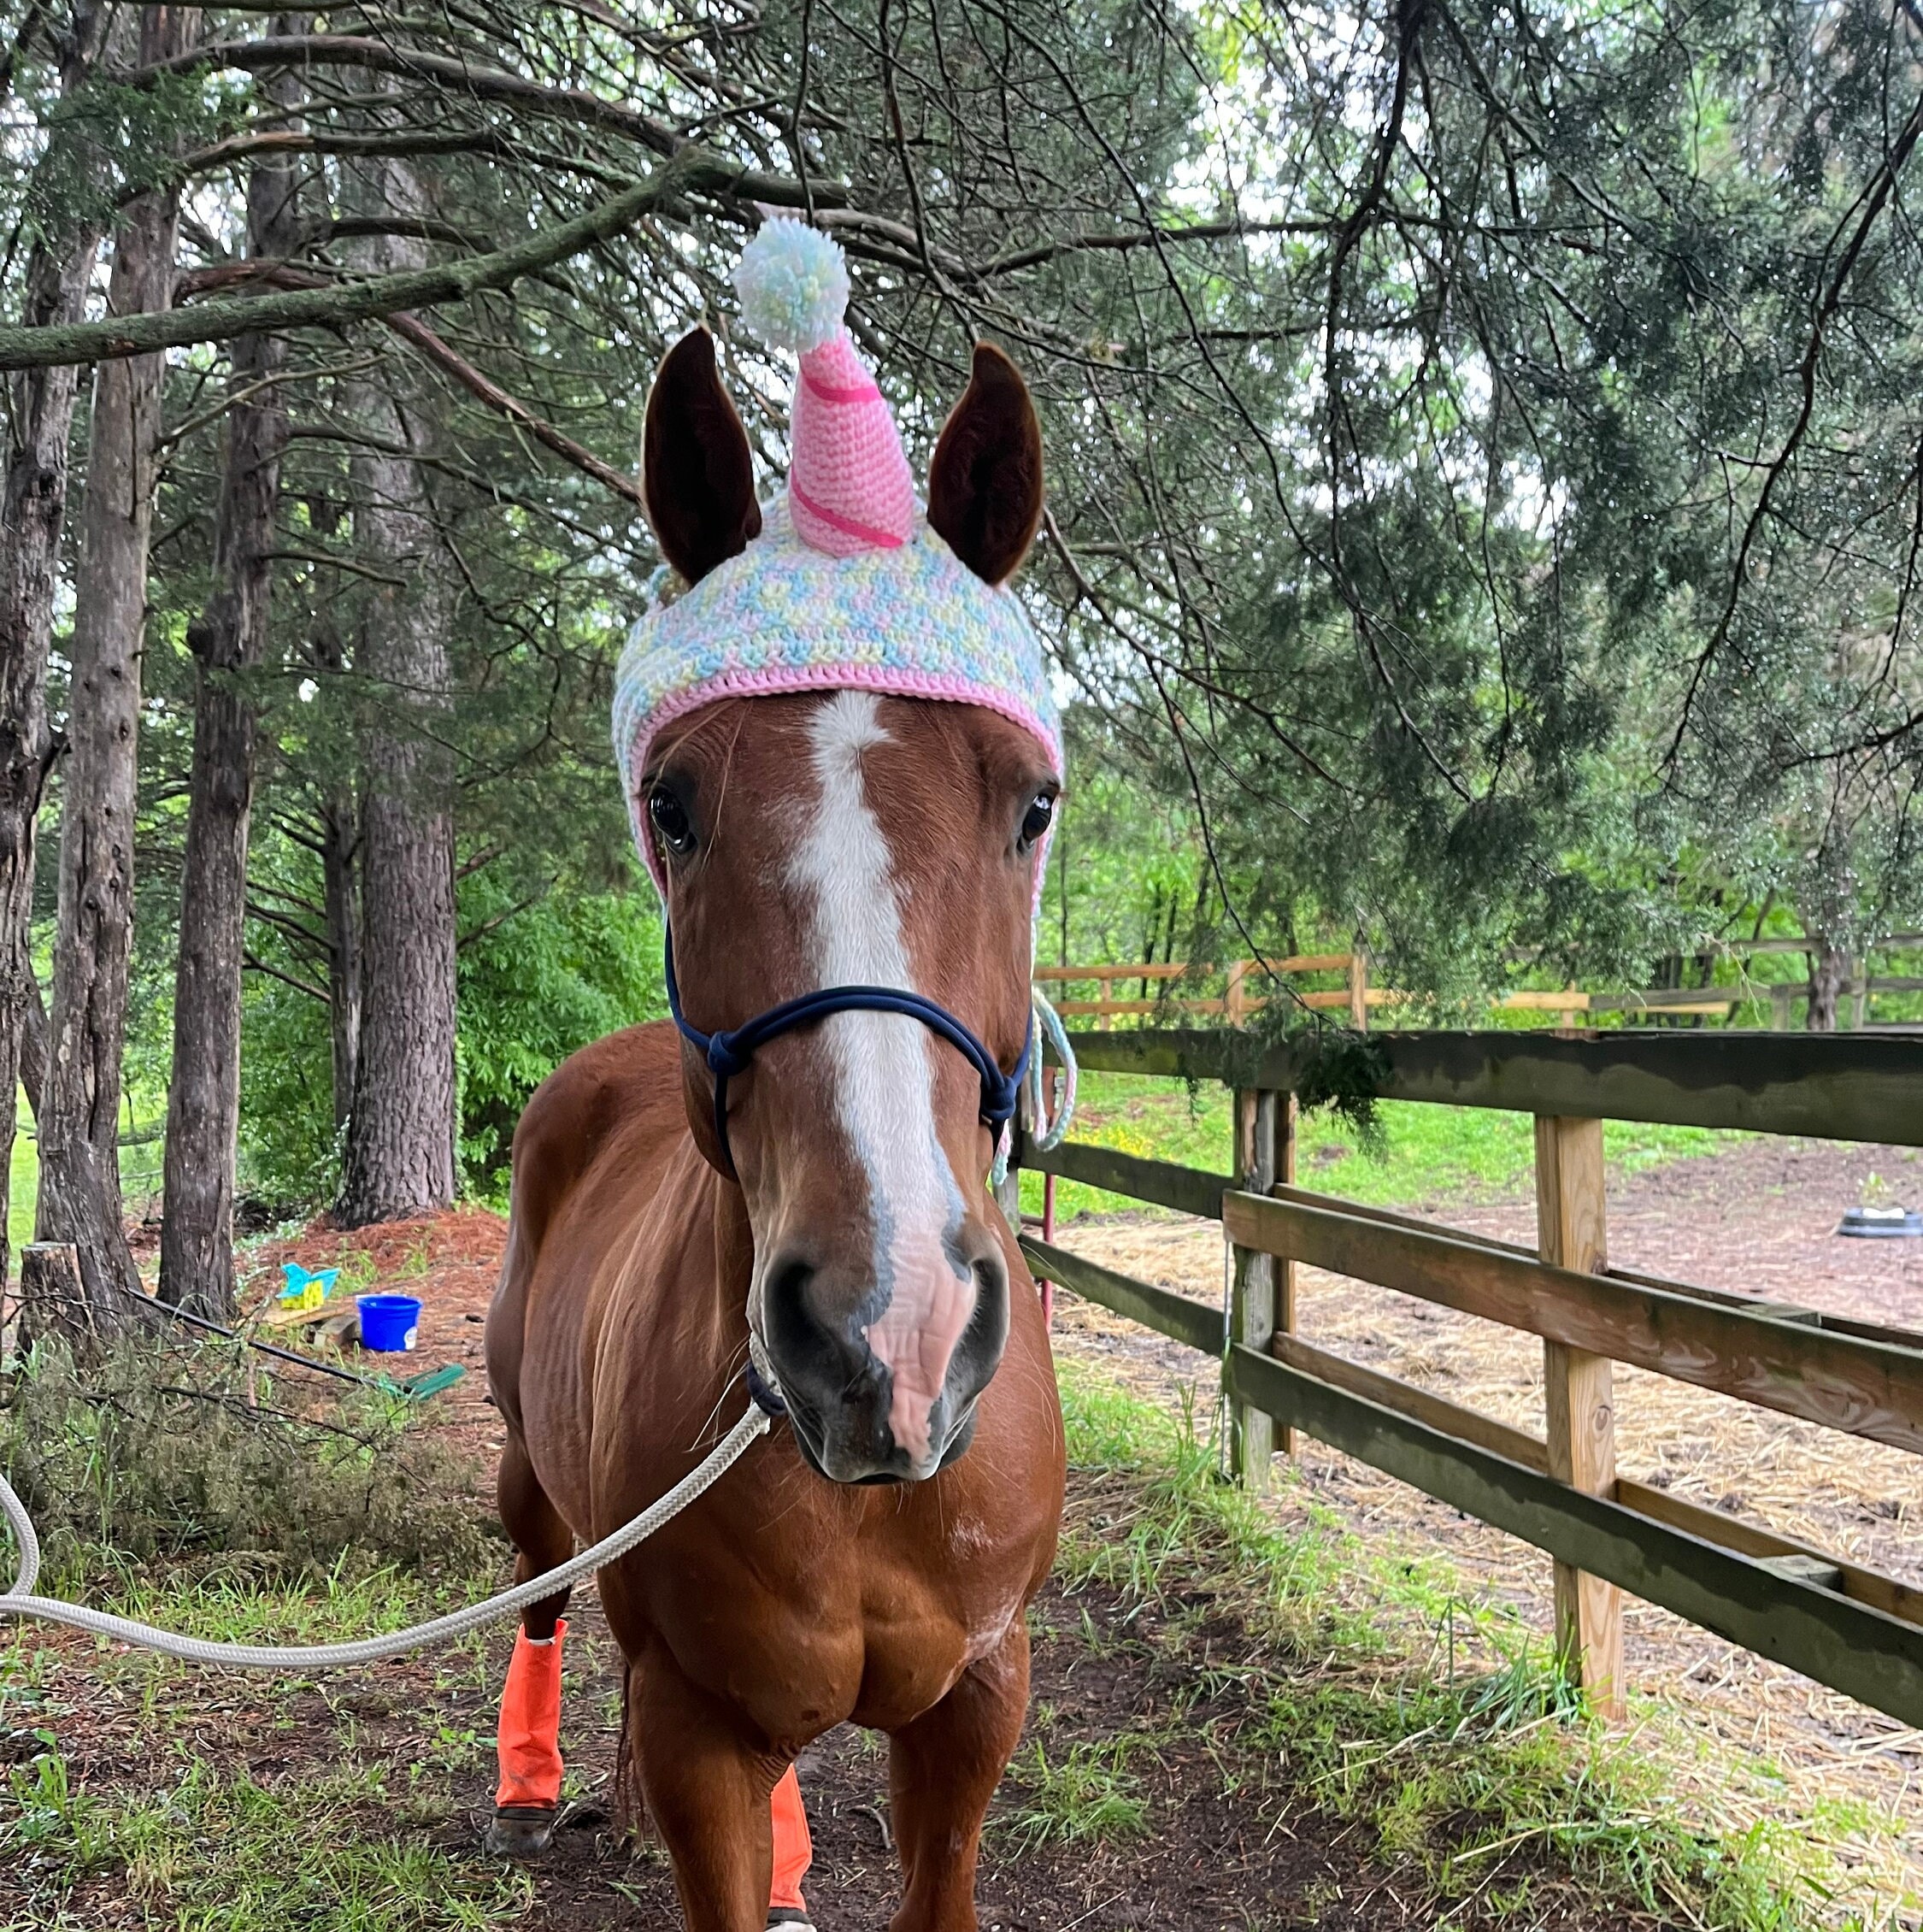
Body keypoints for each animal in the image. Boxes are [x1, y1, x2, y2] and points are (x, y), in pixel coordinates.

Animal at [484, 322, 1068, 1932]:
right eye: (673, 806)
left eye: (1034, 805)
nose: (890, 1332)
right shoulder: (699, 1731)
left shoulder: (979, 1702)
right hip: (523, 1463)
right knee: (544, 1588)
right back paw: (531, 1781)